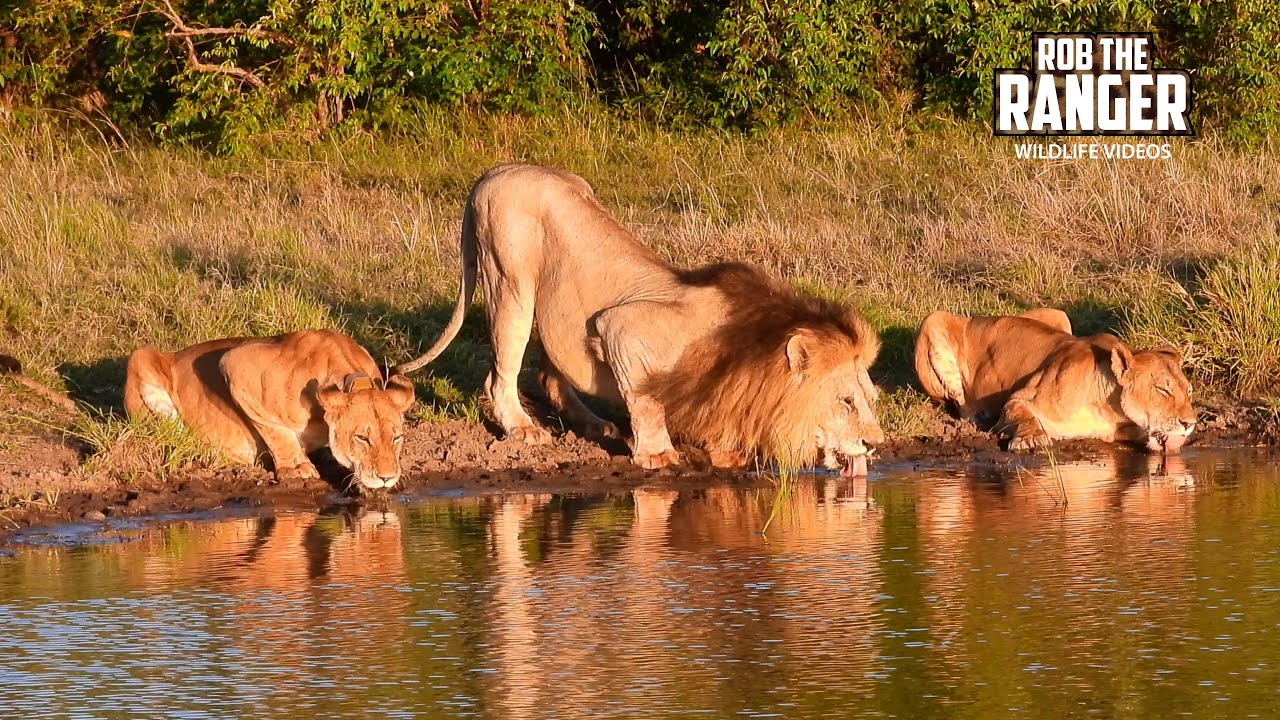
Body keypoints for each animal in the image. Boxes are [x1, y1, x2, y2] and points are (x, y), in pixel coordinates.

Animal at [124, 329, 416, 491]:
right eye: (362, 438)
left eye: (397, 438)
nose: (387, 478)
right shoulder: (235, 363)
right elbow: (275, 430)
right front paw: (296, 467)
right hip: (141, 356)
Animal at [393, 164, 884, 475]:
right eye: (845, 402)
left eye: (871, 399)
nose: (875, 444)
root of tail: (492, 172)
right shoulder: (621, 328)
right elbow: (646, 400)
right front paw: (657, 455)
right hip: (511, 279)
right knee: (500, 374)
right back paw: (523, 429)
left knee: (550, 372)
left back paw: (594, 424)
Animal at [915, 309, 1196, 453]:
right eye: (1162, 390)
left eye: (1189, 391)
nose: (1190, 424)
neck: (1109, 409)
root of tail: (976, 317)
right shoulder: (1020, 398)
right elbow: (1023, 415)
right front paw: (1031, 439)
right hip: (932, 320)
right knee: (961, 402)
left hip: (1059, 314)